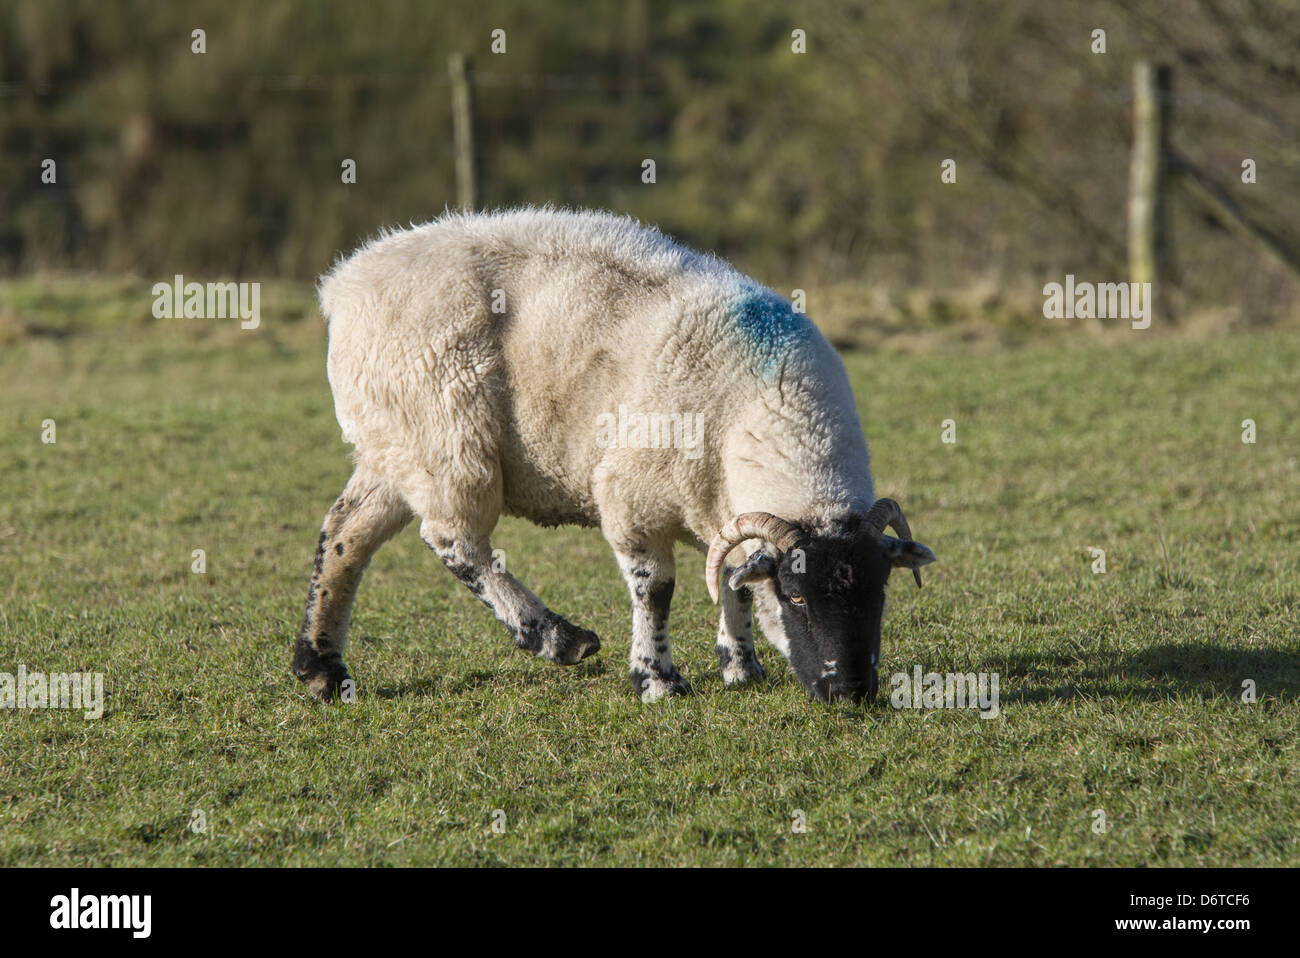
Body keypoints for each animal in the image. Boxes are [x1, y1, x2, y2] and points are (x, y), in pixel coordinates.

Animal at [291, 206, 935, 704]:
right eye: (797, 595)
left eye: (881, 591)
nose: (849, 691)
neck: (770, 403)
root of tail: (345, 284)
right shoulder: (633, 500)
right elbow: (657, 589)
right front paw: (657, 681)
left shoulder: (717, 507)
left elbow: (730, 576)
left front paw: (740, 666)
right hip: (447, 438)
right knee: (454, 540)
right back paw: (555, 637)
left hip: (394, 444)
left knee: (346, 532)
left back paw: (319, 668)